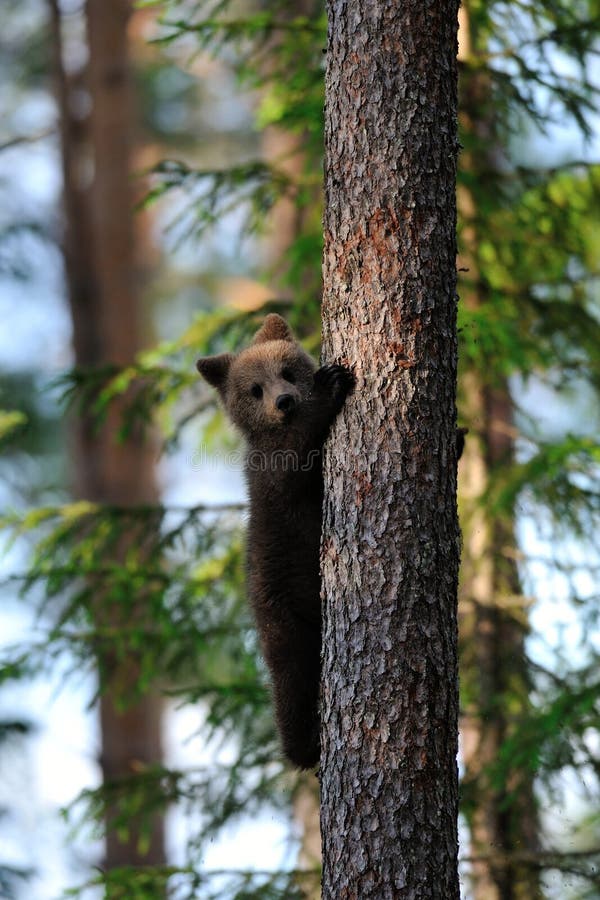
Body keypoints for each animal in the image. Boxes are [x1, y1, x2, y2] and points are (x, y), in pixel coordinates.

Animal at [196, 313, 355, 769]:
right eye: (255, 388)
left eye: (286, 371)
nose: (284, 401)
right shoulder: (273, 476)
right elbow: (293, 463)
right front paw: (331, 384)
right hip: (280, 609)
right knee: (291, 677)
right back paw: (305, 745)